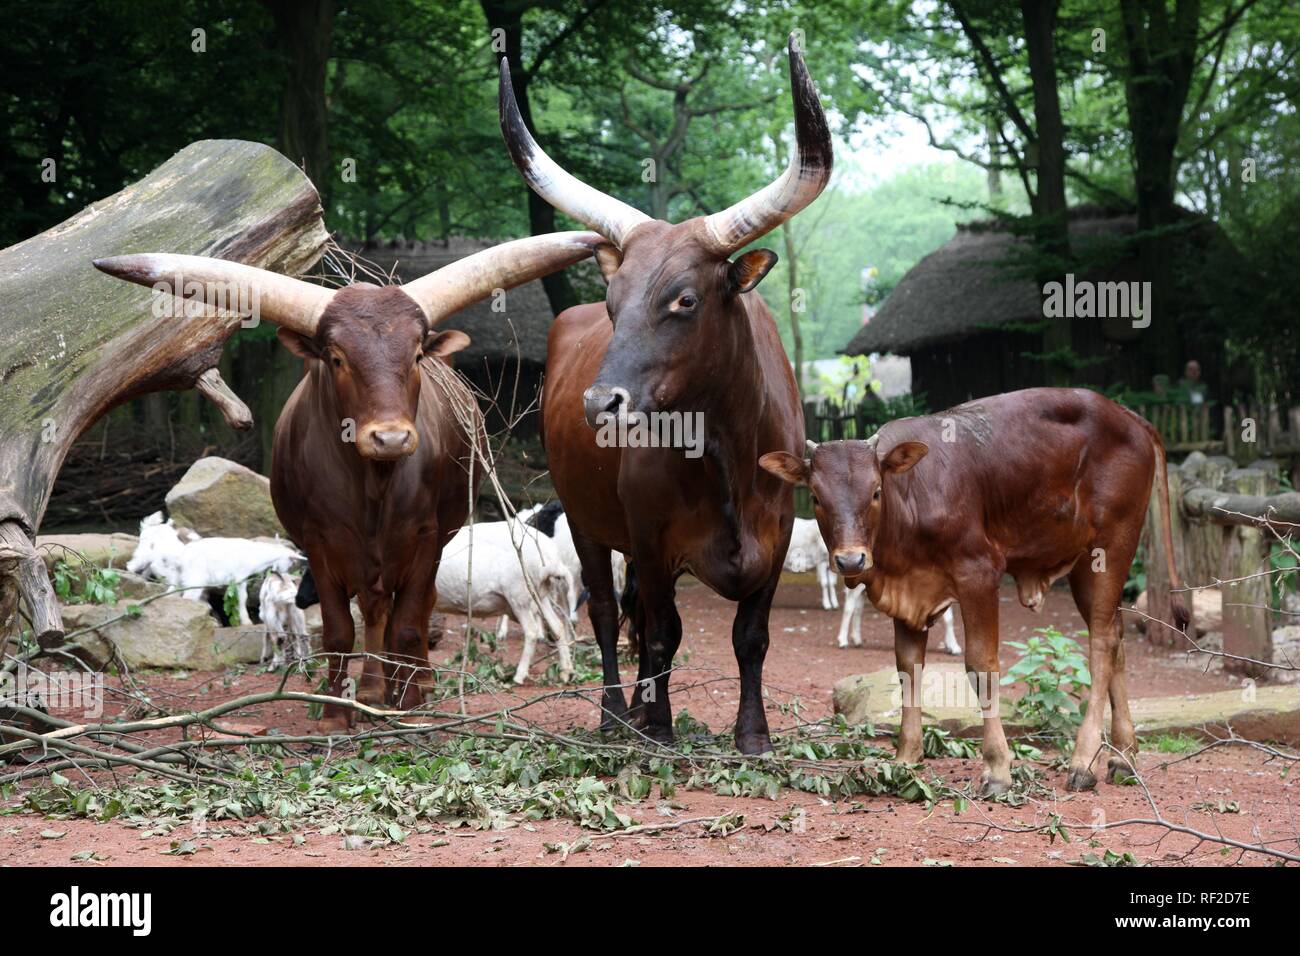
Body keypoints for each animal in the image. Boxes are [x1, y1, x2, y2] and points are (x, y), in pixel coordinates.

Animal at [95, 232, 601, 730]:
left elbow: (409, 622)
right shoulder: (319, 544)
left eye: (416, 355)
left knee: (407, 609)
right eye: (336, 358)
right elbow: (340, 630)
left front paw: (408, 702)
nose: (391, 437)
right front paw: (337, 715)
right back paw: (374, 690)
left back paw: (410, 685)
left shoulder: (426, 539)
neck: (373, 483)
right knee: (373, 610)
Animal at [497, 34, 831, 753]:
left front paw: (753, 736)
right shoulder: (650, 543)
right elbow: (661, 633)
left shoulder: (777, 539)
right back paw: (616, 713)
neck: (725, 453)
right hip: (585, 521)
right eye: (613, 299)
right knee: (606, 613)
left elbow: (750, 637)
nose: (600, 404)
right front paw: (660, 728)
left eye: (684, 299)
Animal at [759, 387, 1189, 793]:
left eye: (876, 491)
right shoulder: (910, 595)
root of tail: (1129, 417)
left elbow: (981, 665)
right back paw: (1123, 756)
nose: (851, 561)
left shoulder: (978, 574)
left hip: (1109, 549)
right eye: (816, 497)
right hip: (1089, 566)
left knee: (1101, 645)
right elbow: (908, 668)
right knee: (1116, 639)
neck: (911, 497)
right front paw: (905, 758)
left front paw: (997, 767)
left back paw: (1084, 760)